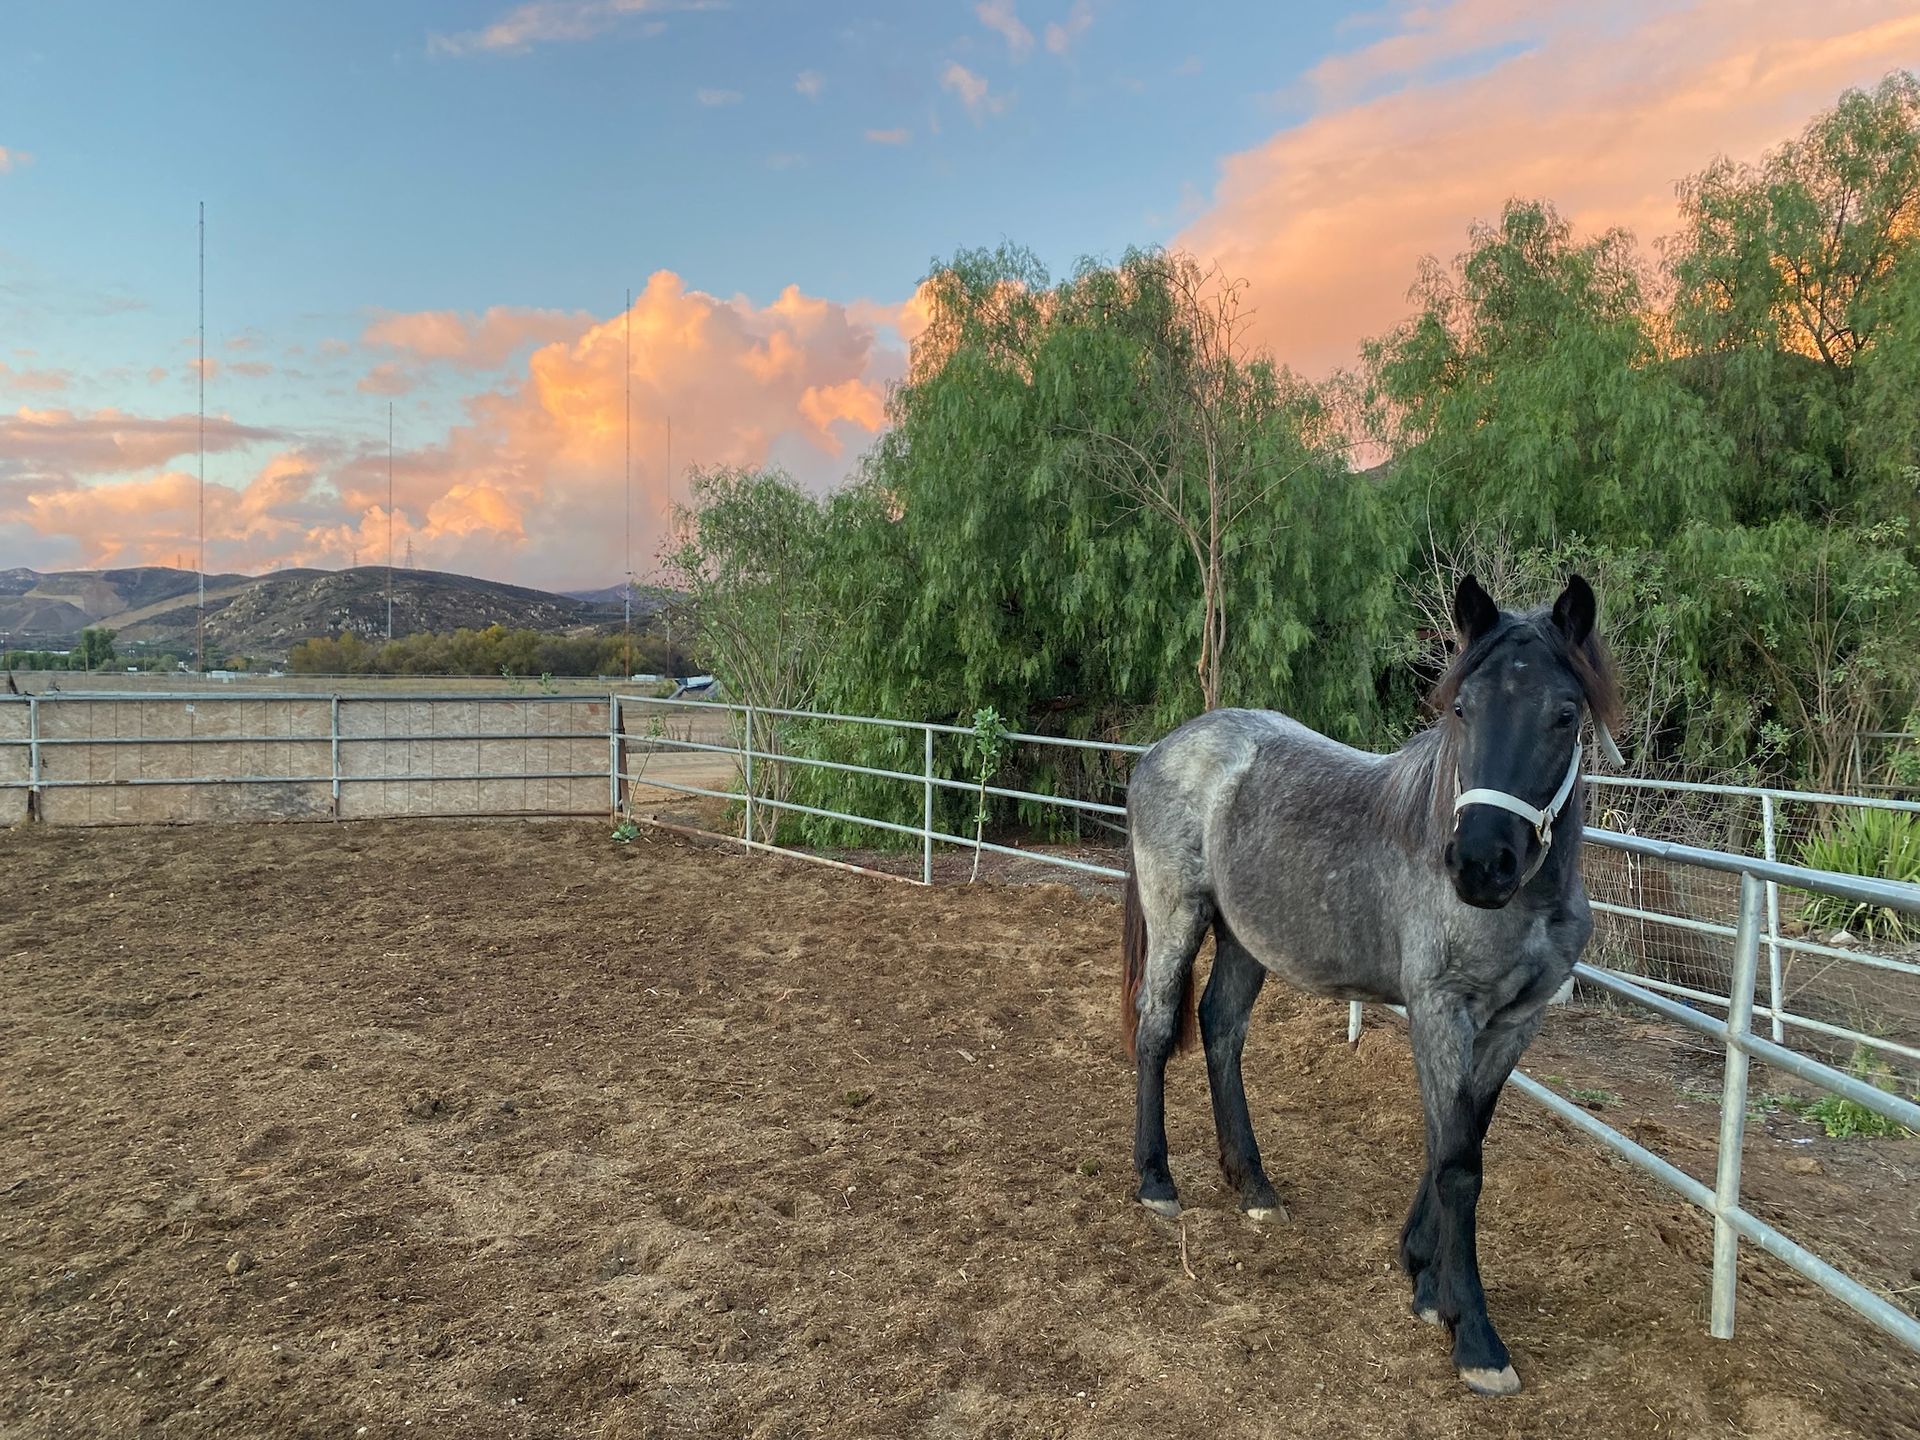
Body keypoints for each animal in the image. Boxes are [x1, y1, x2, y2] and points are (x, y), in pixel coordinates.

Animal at [1120, 574, 1623, 1396]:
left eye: (1565, 714)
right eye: (1462, 708)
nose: (1480, 864)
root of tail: (1165, 748)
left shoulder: (1514, 1022)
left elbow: (1459, 1137)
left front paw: (1423, 1275)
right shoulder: (1441, 1010)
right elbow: (1457, 1163)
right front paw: (1473, 1333)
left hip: (1246, 939)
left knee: (1222, 1030)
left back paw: (1253, 1186)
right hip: (1177, 914)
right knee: (1159, 1027)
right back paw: (1157, 1181)